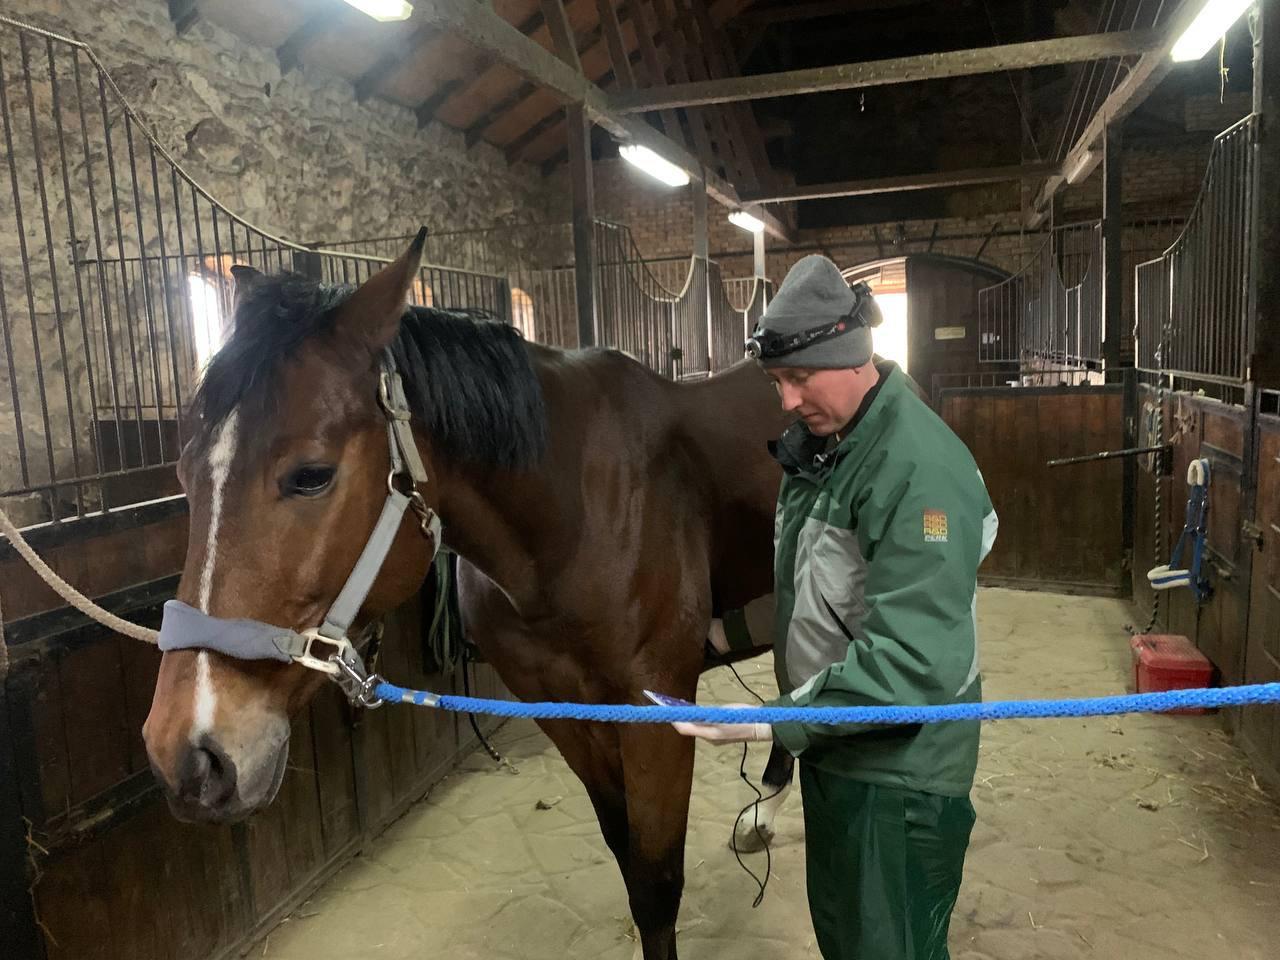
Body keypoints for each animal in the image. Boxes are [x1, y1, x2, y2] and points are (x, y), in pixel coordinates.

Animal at [142, 232, 795, 960]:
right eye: (183, 471)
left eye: (311, 475)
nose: (189, 756)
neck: (578, 511)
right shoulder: (565, 711)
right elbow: (626, 856)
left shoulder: (655, 715)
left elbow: (656, 885)